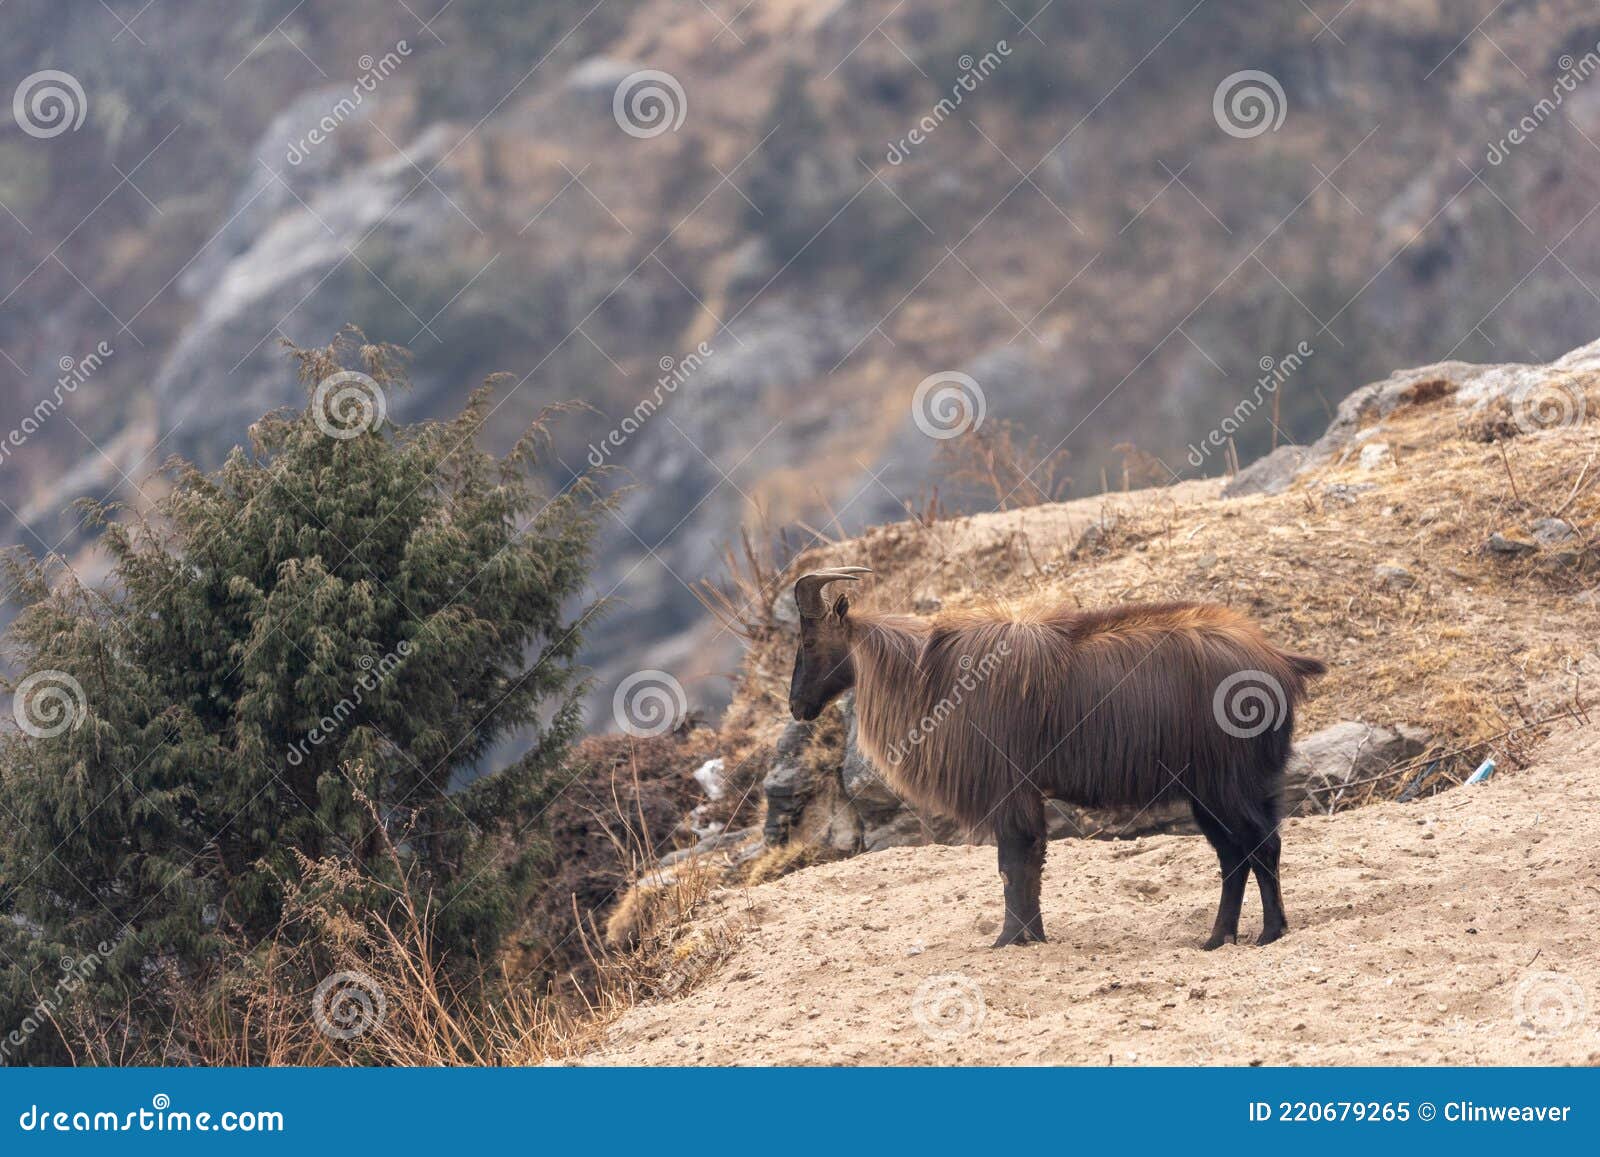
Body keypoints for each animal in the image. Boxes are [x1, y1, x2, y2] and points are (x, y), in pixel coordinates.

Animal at [786, 568, 1326, 949]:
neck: (930, 672)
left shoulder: (1007, 790)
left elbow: (1013, 863)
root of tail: (1281, 664)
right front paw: (1033, 935)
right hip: (1218, 791)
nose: (797, 705)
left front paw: (1009, 939)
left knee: (1261, 847)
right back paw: (1217, 939)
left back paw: (1270, 932)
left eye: (808, 640)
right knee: (1236, 855)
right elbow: (1030, 862)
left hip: (1226, 785)